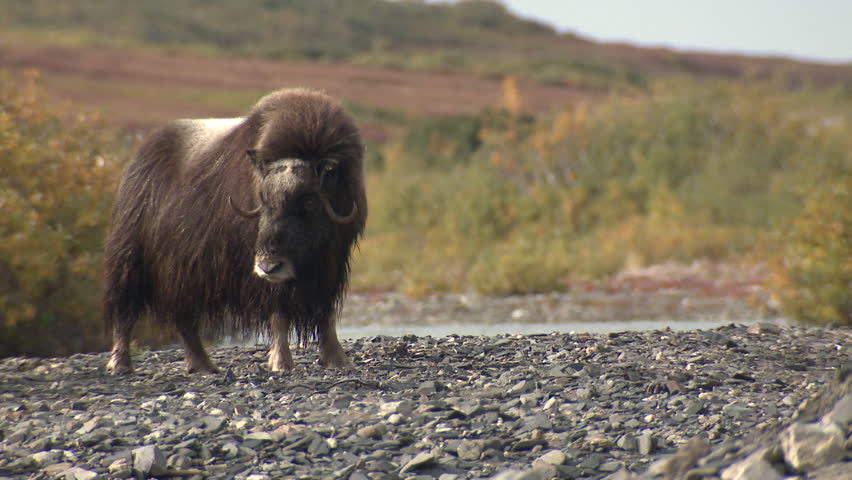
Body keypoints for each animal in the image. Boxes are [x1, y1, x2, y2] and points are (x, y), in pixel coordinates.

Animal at [102, 88, 367, 374]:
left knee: (184, 318)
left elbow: (326, 313)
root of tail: (139, 157)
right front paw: (281, 362)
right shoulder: (261, 273)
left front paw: (337, 359)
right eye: (263, 198)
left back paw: (202, 364)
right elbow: (279, 312)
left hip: (182, 274)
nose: (269, 266)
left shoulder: (332, 263)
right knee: (125, 310)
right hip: (131, 258)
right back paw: (120, 363)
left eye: (308, 201)